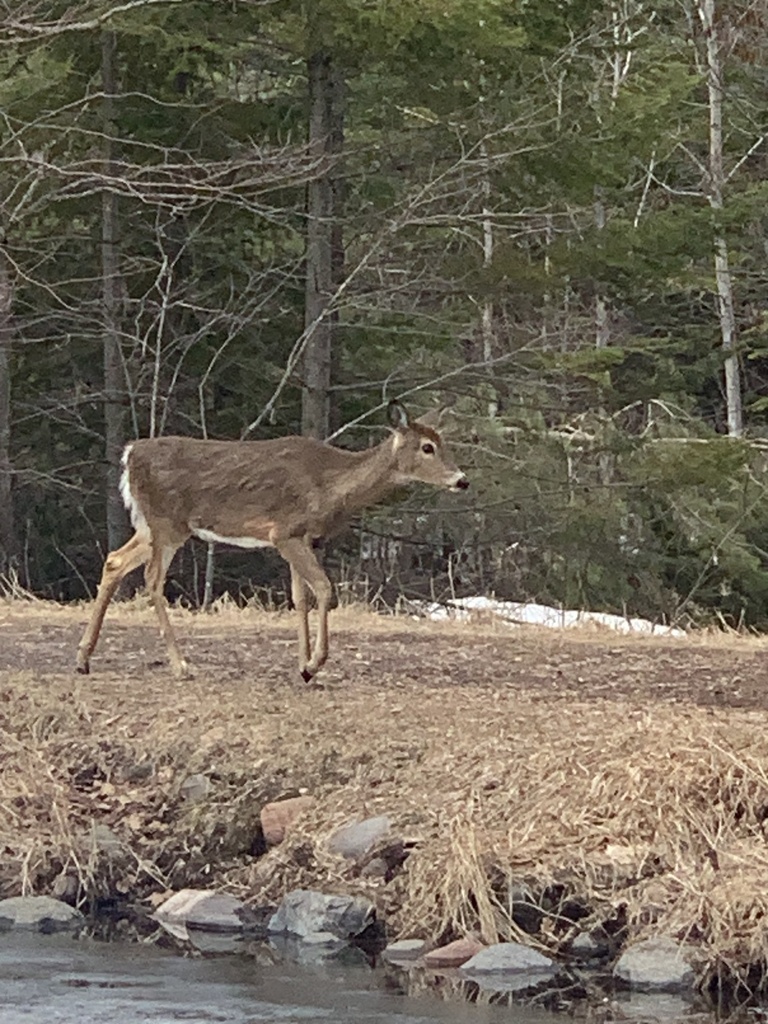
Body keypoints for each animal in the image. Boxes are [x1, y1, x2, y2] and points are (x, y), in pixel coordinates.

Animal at [76, 400, 469, 681]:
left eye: (445, 443)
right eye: (428, 447)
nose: (462, 480)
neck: (331, 485)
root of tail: (130, 453)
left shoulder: (302, 537)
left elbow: (299, 598)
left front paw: (302, 664)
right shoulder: (284, 531)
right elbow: (325, 589)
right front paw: (314, 664)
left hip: (150, 527)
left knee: (115, 560)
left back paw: (83, 659)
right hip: (167, 524)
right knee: (152, 580)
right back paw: (181, 665)